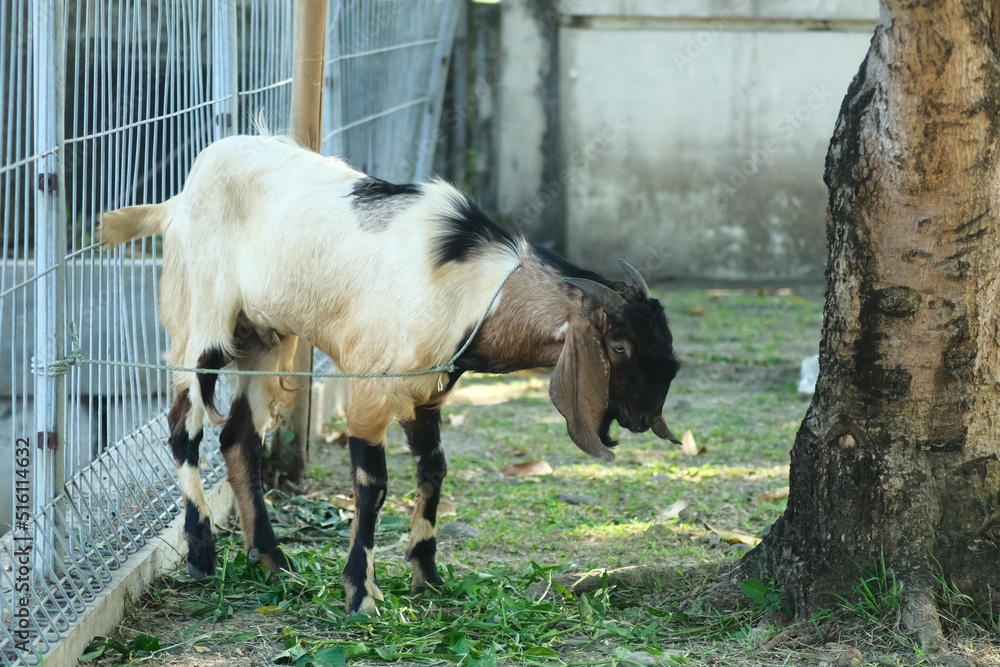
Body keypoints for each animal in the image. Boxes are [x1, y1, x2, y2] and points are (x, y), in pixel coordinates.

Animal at [99, 134, 681, 615]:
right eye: (619, 345)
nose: (646, 416)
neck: (465, 285)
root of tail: (178, 199)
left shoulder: (428, 393)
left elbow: (435, 469)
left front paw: (428, 575)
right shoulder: (370, 390)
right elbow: (373, 486)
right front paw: (361, 592)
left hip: (266, 336)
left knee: (238, 437)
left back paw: (273, 561)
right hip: (202, 326)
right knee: (184, 425)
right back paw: (203, 554)